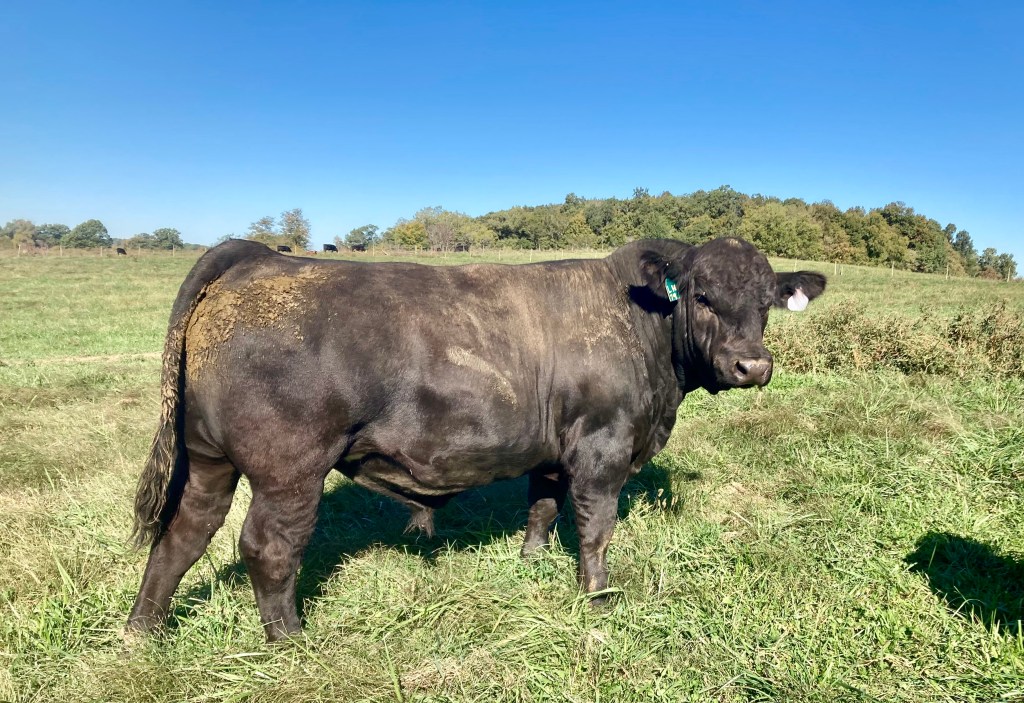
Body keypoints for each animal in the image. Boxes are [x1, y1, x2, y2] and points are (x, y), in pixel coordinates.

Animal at [127, 236, 825, 641]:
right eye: (702, 295)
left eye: (768, 300)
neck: (641, 321)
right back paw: (291, 640)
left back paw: (143, 631)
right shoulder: (602, 446)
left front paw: (532, 561)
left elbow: (543, 503)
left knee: (181, 535)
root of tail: (259, 257)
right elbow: (596, 525)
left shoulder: (553, 447)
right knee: (267, 548)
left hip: (210, 460)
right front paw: (598, 598)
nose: (752, 366)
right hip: (288, 470)